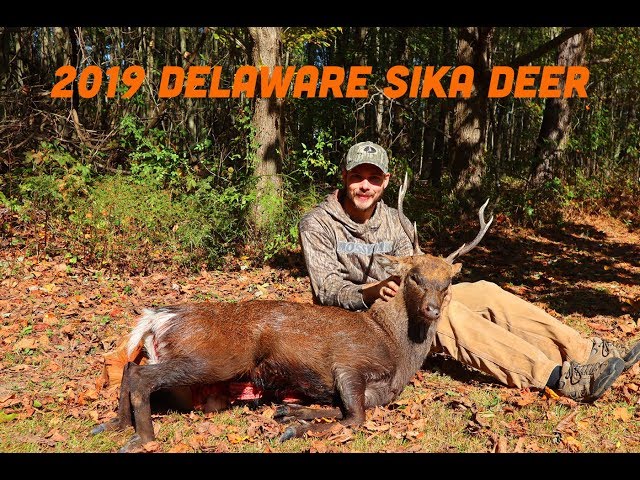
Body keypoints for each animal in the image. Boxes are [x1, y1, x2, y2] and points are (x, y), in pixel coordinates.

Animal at [91, 172, 493, 452]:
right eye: (414, 276)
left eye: (448, 283)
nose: (432, 310)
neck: (394, 347)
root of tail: (157, 318)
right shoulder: (348, 363)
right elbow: (356, 418)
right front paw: (296, 427)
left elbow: (342, 410)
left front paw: (291, 414)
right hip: (216, 357)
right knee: (141, 375)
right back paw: (141, 438)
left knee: (130, 370)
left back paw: (111, 426)